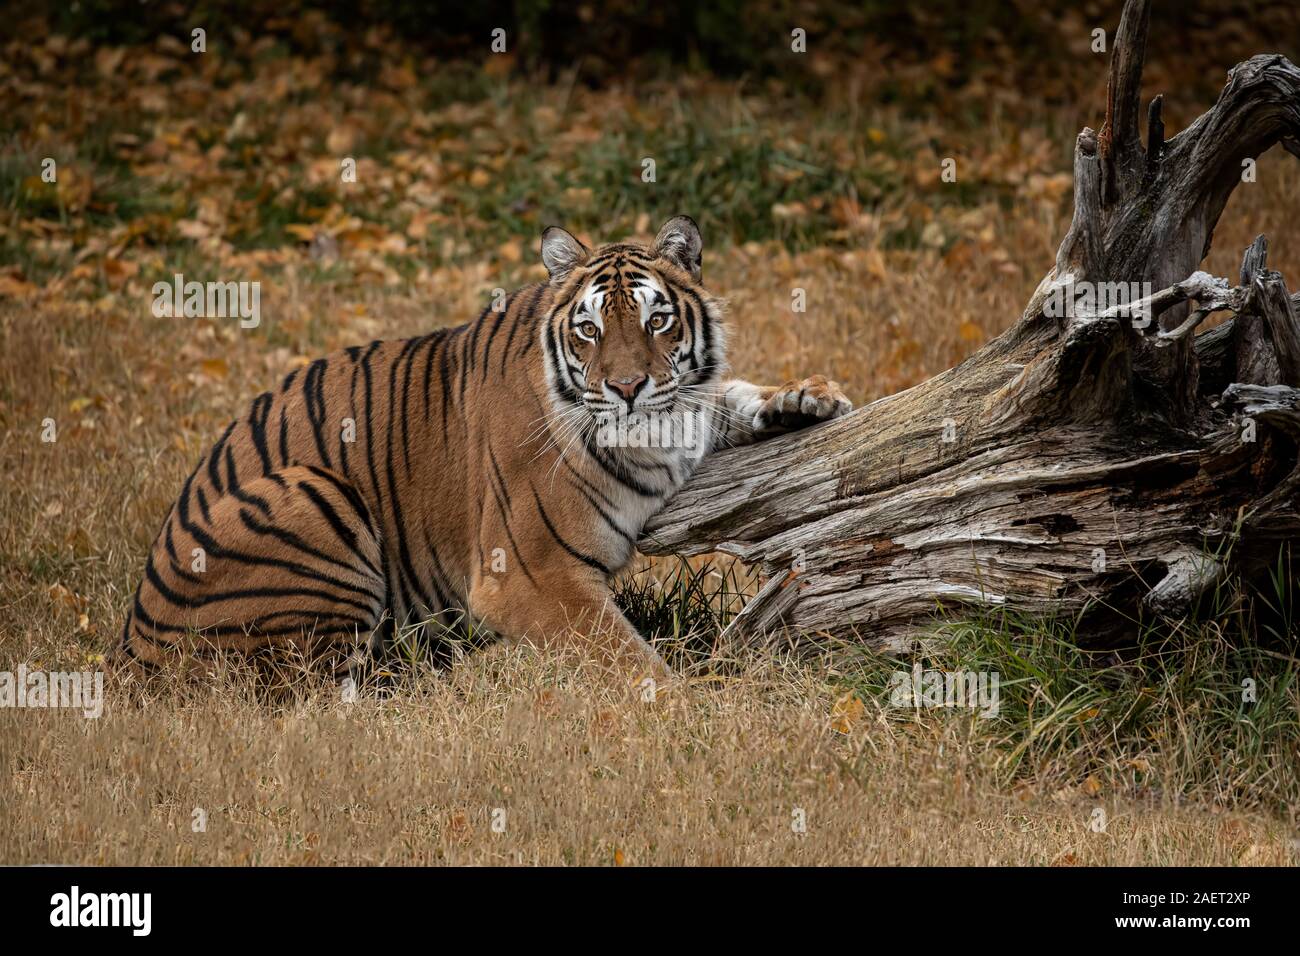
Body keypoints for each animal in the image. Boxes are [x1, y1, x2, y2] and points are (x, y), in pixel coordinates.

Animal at [115, 216, 852, 685]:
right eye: (589, 330)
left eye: (657, 320)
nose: (627, 389)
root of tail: (126, 650)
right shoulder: (532, 575)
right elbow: (630, 661)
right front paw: (686, 709)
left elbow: (728, 396)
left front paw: (810, 397)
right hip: (311, 493)